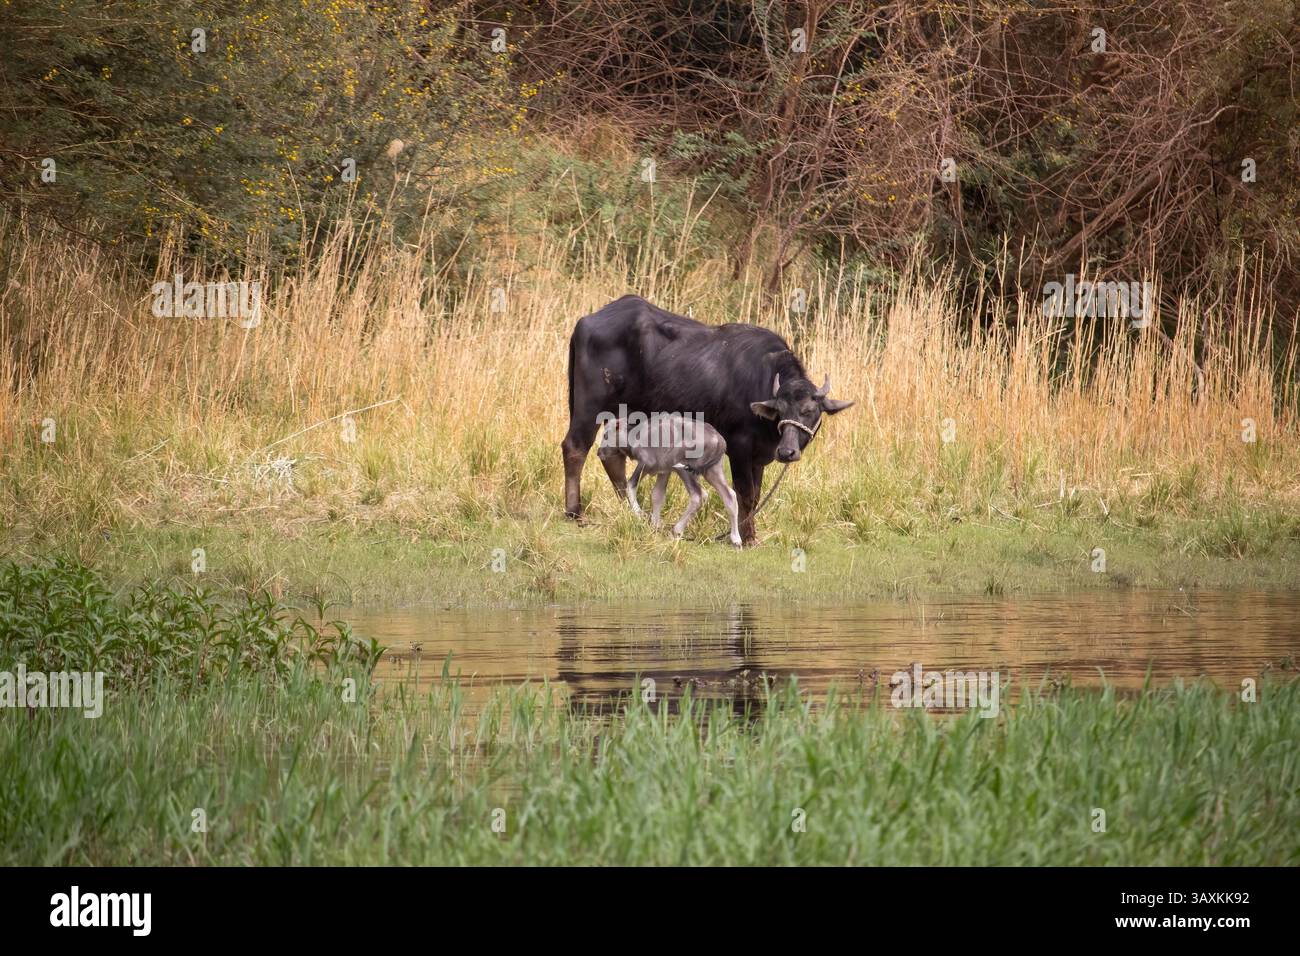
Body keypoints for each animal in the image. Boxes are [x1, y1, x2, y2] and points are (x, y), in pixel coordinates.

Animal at [561, 295, 854, 544]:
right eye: (781, 409)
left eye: (810, 411)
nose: (787, 452)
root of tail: (586, 321)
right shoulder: (739, 448)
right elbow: (745, 493)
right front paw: (746, 537)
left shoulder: (758, 456)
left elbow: (756, 494)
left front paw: (749, 534)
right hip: (590, 406)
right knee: (575, 447)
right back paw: (575, 512)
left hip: (623, 414)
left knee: (611, 455)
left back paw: (627, 509)